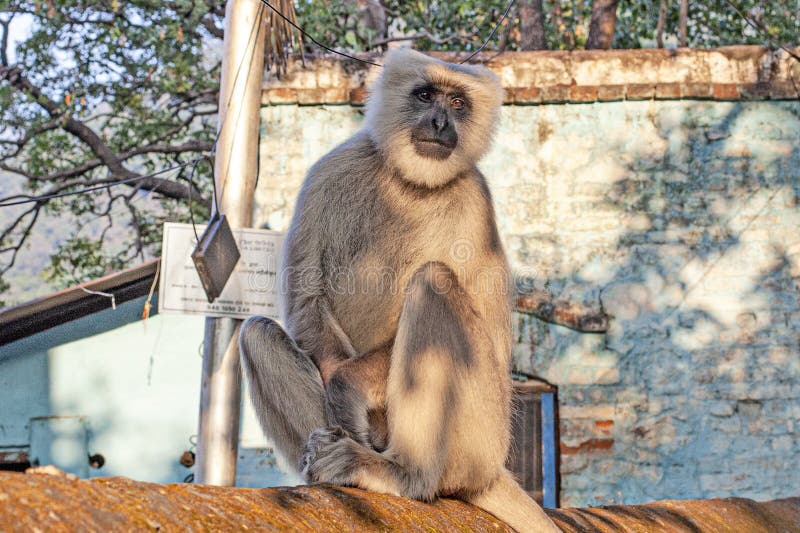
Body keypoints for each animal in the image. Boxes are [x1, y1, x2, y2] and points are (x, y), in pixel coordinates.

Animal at [239, 48, 560, 533]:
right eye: (425, 95)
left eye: (458, 103)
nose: (440, 122)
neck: (411, 184)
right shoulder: (333, 168)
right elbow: (305, 296)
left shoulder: (474, 199)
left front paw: (347, 387)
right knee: (256, 332)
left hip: (482, 434)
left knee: (434, 283)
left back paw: (405, 474)